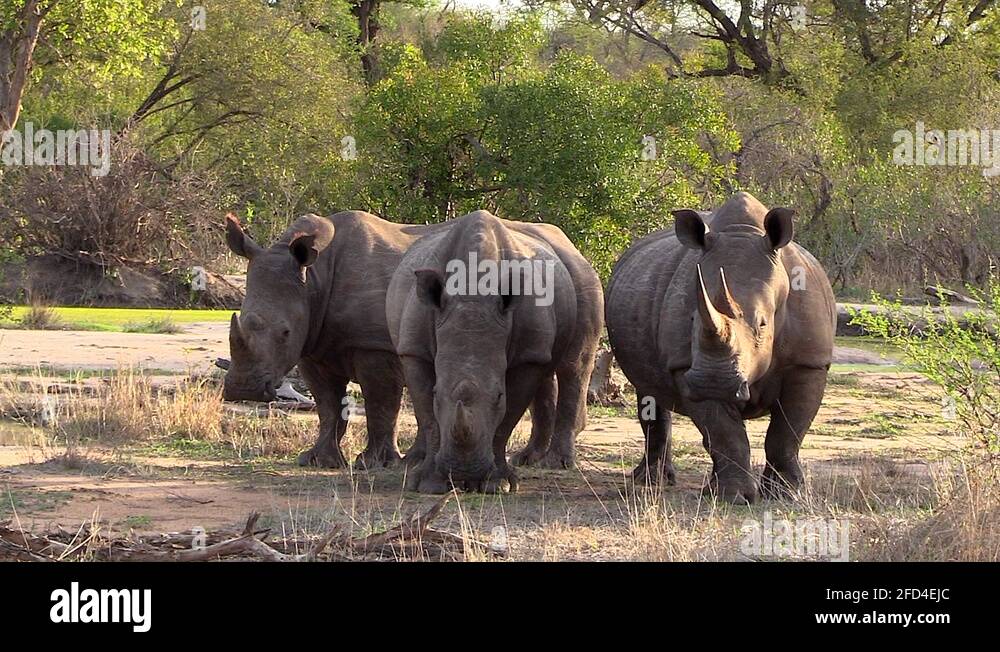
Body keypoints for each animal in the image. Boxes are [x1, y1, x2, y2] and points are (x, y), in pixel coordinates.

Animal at [223, 211, 441, 468]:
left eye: (285, 333)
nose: (243, 389)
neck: (314, 279)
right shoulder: (312, 346)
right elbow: (328, 405)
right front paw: (319, 460)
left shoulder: (374, 345)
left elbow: (380, 404)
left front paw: (372, 464)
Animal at [386, 210, 604, 493]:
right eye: (437, 394)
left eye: (499, 396)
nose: (463, 473)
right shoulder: (414, 349)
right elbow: (428, 415)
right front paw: (428, 484)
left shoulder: (525, 359)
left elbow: (507, 418)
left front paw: (497, 484)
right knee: (548, 367)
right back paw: (527, 459)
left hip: (584, 277)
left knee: (574, 365)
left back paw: (555, 464)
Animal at [605, 192, 836, 503]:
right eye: (693, 319)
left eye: (762, 323)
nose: (712, 381)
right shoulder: (684, 366)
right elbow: (724, 433)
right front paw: (735, 497)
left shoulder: (809, 361)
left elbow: (787, 432)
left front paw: (786, 495)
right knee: (651, 395)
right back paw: (655, 481)